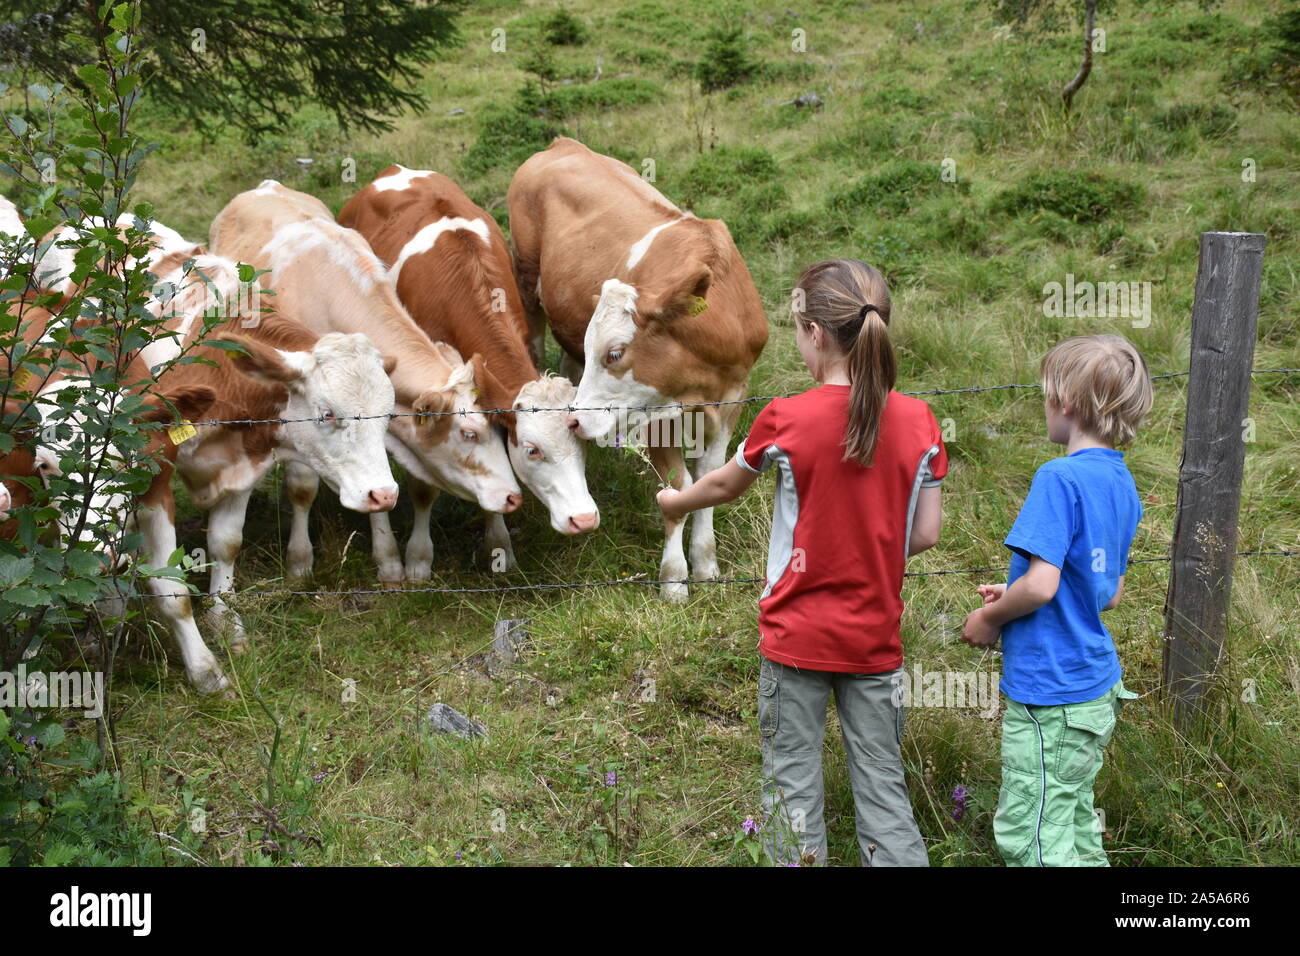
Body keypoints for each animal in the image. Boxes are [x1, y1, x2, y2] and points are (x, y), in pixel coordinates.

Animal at [338, 164, 599, 568]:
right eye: (532, 450)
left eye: (583, 443)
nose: (584, 519)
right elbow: (424, 484)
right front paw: (418, 558)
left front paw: (498, 543)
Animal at [507, 137, 769, 601]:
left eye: (614, 353)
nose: (574, 422)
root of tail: (560, 144)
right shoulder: (656, 417)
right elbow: (679, 489)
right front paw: (674, 579)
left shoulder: (733, 396)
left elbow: (708, 480)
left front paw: (705, 563)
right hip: (526, 284)